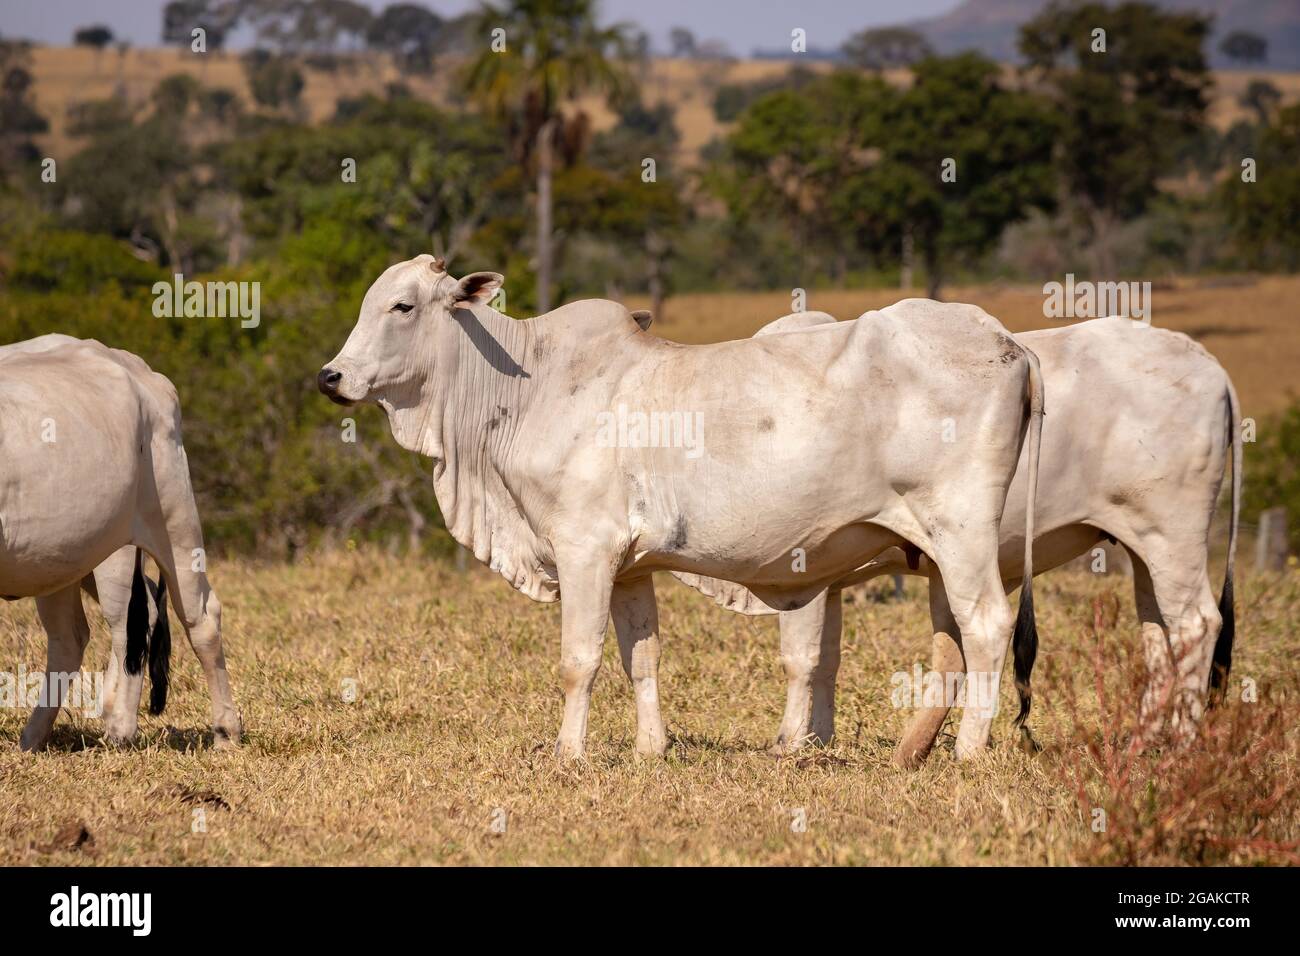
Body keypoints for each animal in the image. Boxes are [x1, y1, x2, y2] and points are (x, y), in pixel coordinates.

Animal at [0, 335, 241, 751]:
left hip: (169, 527)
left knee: (188, 619)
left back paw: (216, 731)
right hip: (60, 557)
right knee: (72, 636)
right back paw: (35, 737)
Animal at [319, 256, 1043, 762]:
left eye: (403, 305)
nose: (331, 376)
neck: (528, 384)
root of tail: (1010, 343)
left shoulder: (584, 549)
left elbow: (578, 659)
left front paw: (568, 753)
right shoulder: (631, 568)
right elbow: (641, 657)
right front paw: (650, 748)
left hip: (962, 534)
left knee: (986, 627)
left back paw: (969, 750)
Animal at [674, 309, 1242, 766]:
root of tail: (1211, 367)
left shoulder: (801, 572)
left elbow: (801, 660)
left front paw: (789, 742)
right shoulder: (829, 580)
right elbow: (829, 661)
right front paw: (818, 738)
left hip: (1171, 537)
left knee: (1196, 624)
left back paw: (1180, 745)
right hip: (1143, 548)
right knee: (1159, 639)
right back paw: (1143, 744)